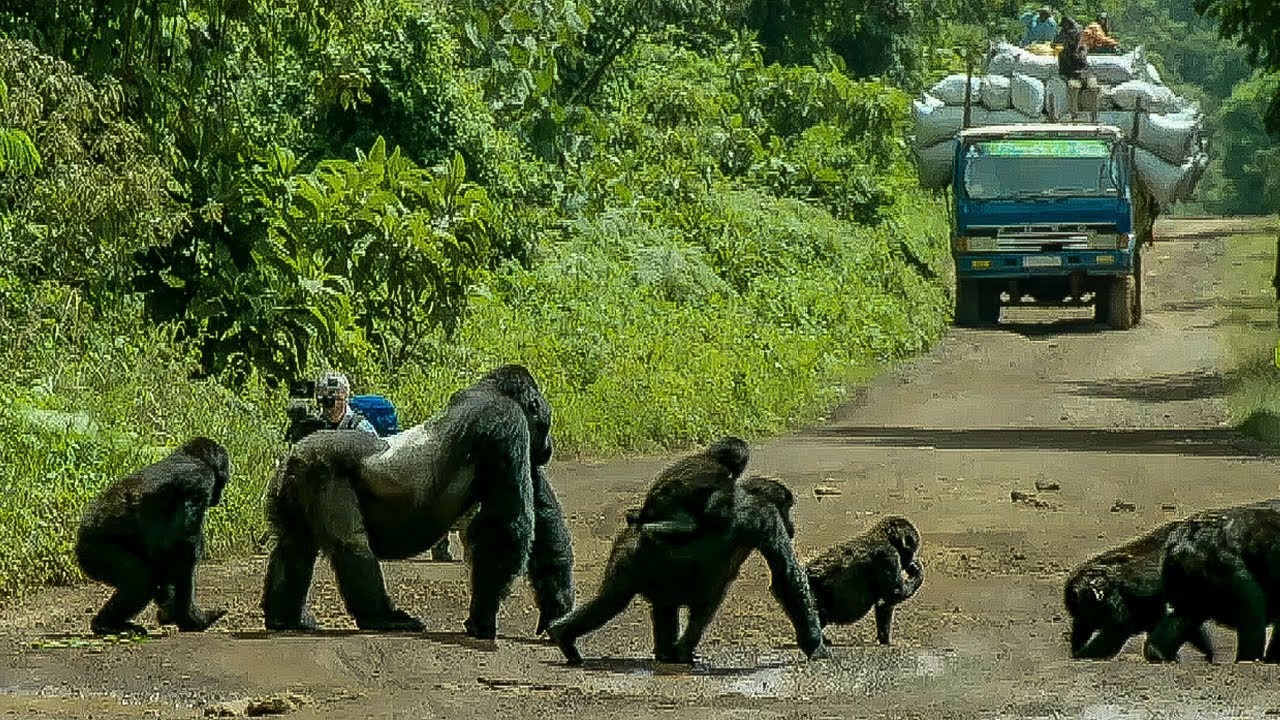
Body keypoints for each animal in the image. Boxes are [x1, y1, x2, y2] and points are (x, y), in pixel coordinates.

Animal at [75, 437, 232, 636]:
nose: (218, 497)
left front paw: (173, 611)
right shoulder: (199, 479)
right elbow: (184, 543)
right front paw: (188, 617)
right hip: (96, 552)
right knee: (140, 580)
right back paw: (106, 624)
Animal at [261, 364, 575, 639]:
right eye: (544, 423)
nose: (548, 448)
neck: (493, 391)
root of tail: (291, 456)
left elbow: (542, 523)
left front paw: (557, 611)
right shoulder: (506, 423)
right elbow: (506, 527)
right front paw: (482, 617)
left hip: (292, 483)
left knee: (294, 546)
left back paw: (286, 618)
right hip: (319, 469)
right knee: (351, 544)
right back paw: (381, 618)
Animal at [546, 475, 828, 665]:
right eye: (787, 507)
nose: (791, 523)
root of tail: (635, 528)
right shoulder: (768, 517)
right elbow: (786, 575)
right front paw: (816, 646)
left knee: (655, 606)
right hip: (630, 556)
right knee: (613, 601)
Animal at [804, 516, 924, 646]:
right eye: (912, 547)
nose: (912, 559)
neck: (883, 536)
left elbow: (884, 604)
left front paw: (884, 639)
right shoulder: (888, 555)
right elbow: (894, 594)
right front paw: (918, 573)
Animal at [1145, 500, 1280, 663]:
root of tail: (1179, 547)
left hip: (1192, 597)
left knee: (1178, 621)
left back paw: (1159, 654)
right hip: (1229, 579)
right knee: (1252, 615)